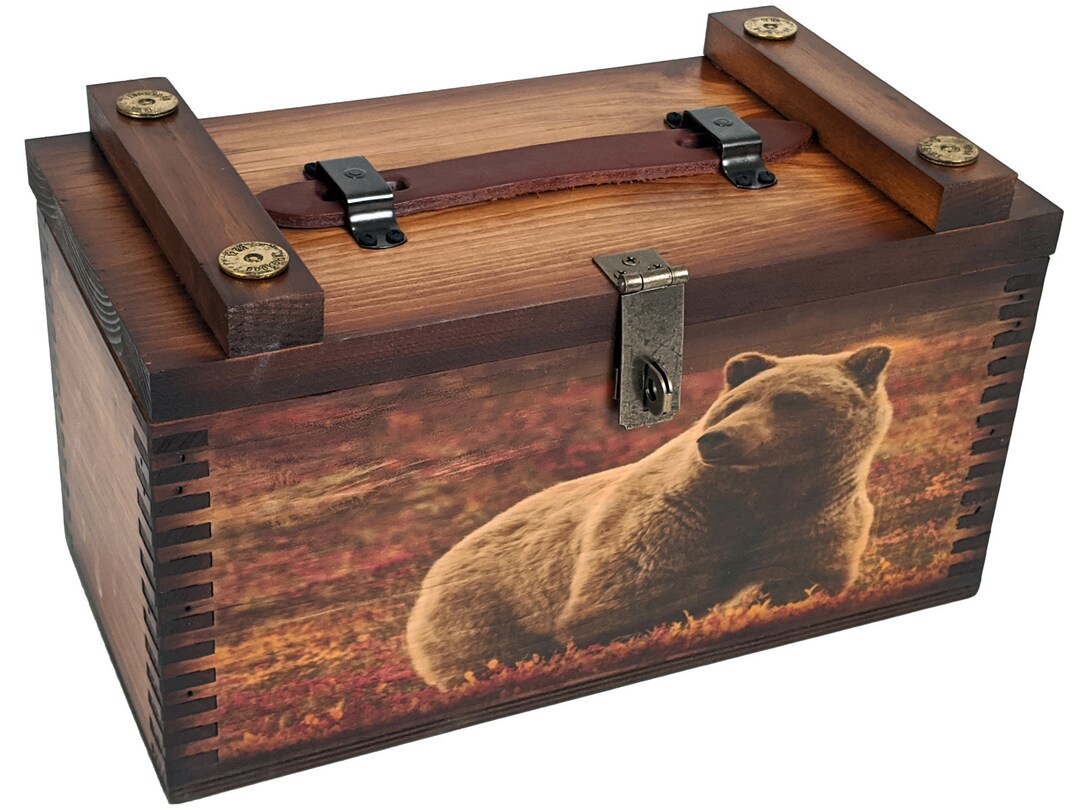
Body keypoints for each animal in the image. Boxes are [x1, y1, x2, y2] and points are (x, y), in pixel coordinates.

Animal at [406, 344, 893, 689]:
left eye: (791, 399)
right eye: (736, 402)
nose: (717, 440)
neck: (762, 493)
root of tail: (430, 576)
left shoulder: (814, 514)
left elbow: (800, 580)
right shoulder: (673, 519)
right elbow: (617, 606)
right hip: (482, 611)